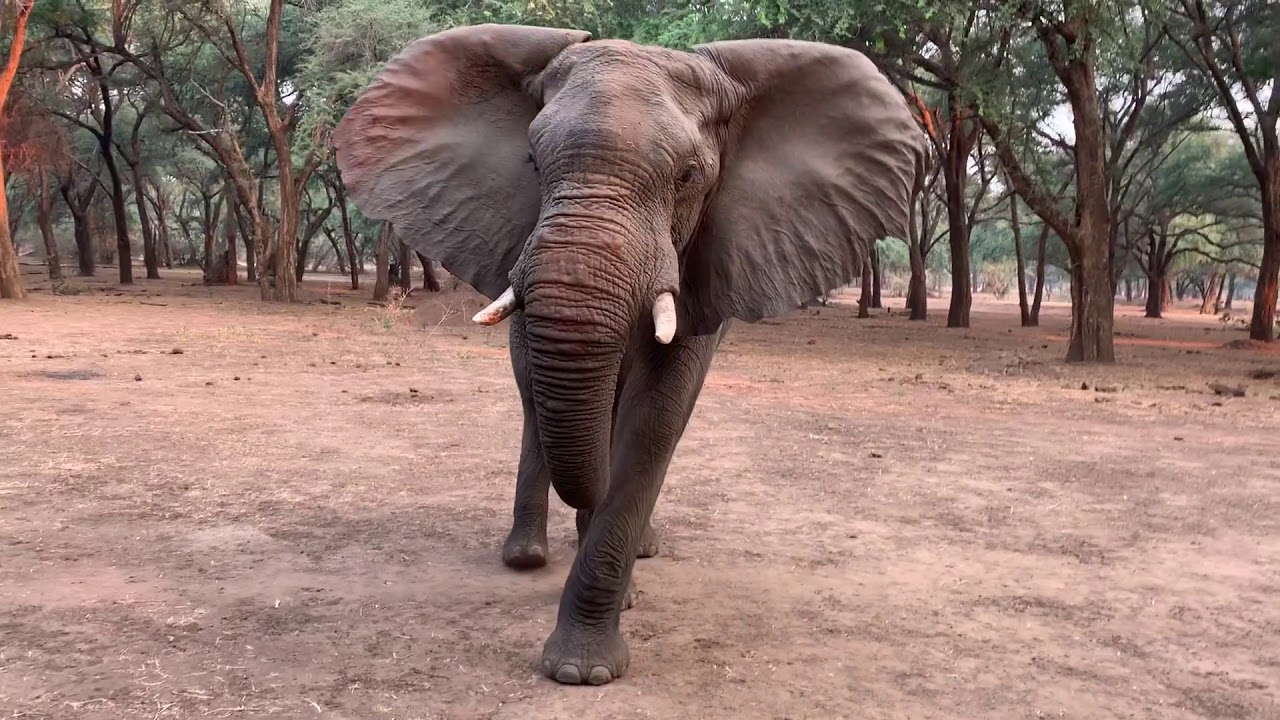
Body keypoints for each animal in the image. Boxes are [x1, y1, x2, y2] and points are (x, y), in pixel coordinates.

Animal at [333, 23, 925, 686]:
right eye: (532, 162)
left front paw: (583, 667)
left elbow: (656, 417)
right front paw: (586, 655)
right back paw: (529, 556)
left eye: (690, 175)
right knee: (536, 400)